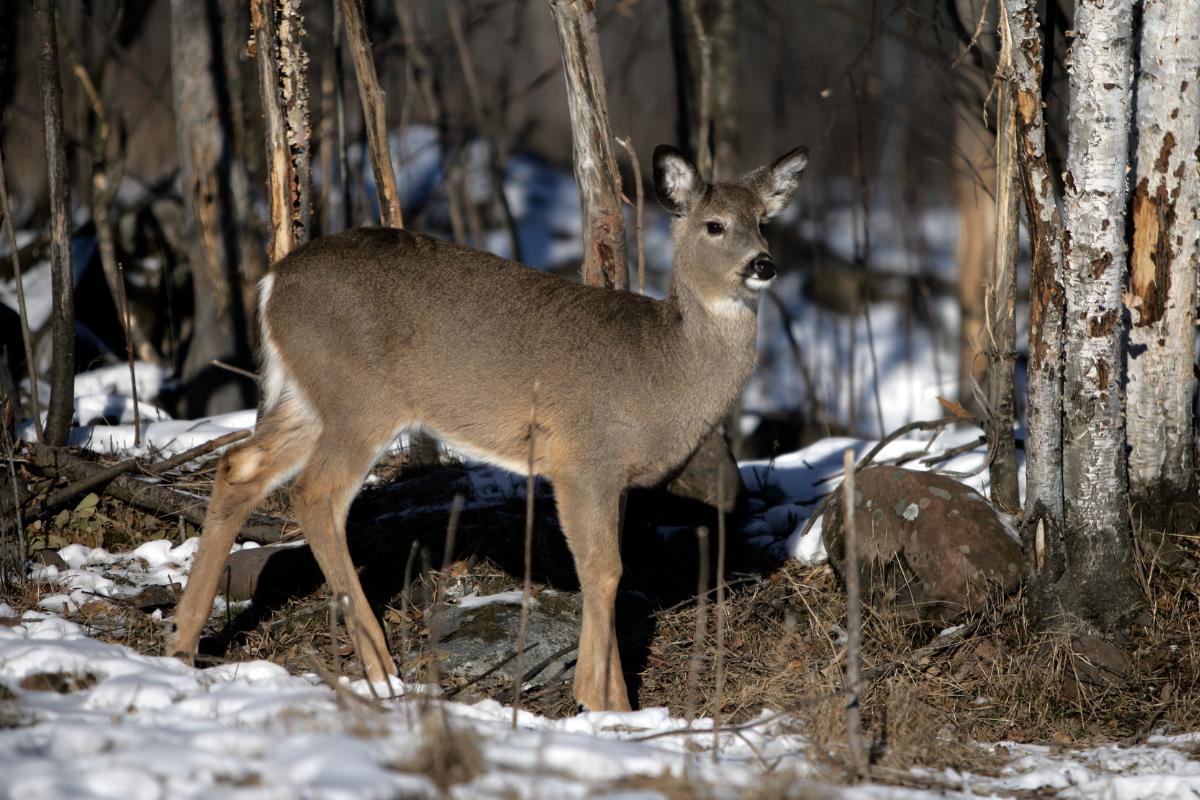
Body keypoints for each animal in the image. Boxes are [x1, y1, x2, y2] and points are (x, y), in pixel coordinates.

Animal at [167, 144, 809, 712]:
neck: (666, 365)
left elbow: (608, 576)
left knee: (239, 466)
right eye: (715, 225)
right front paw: (603, 704)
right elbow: (604, 573)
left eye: (763, 222)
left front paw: (614, 700)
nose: (764, 264)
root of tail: (271, 282)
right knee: (315, 492)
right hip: (359, 398)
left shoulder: (615, 479)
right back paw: (381, 667)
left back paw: (182, 642)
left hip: (307, 398)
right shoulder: (584, 459)